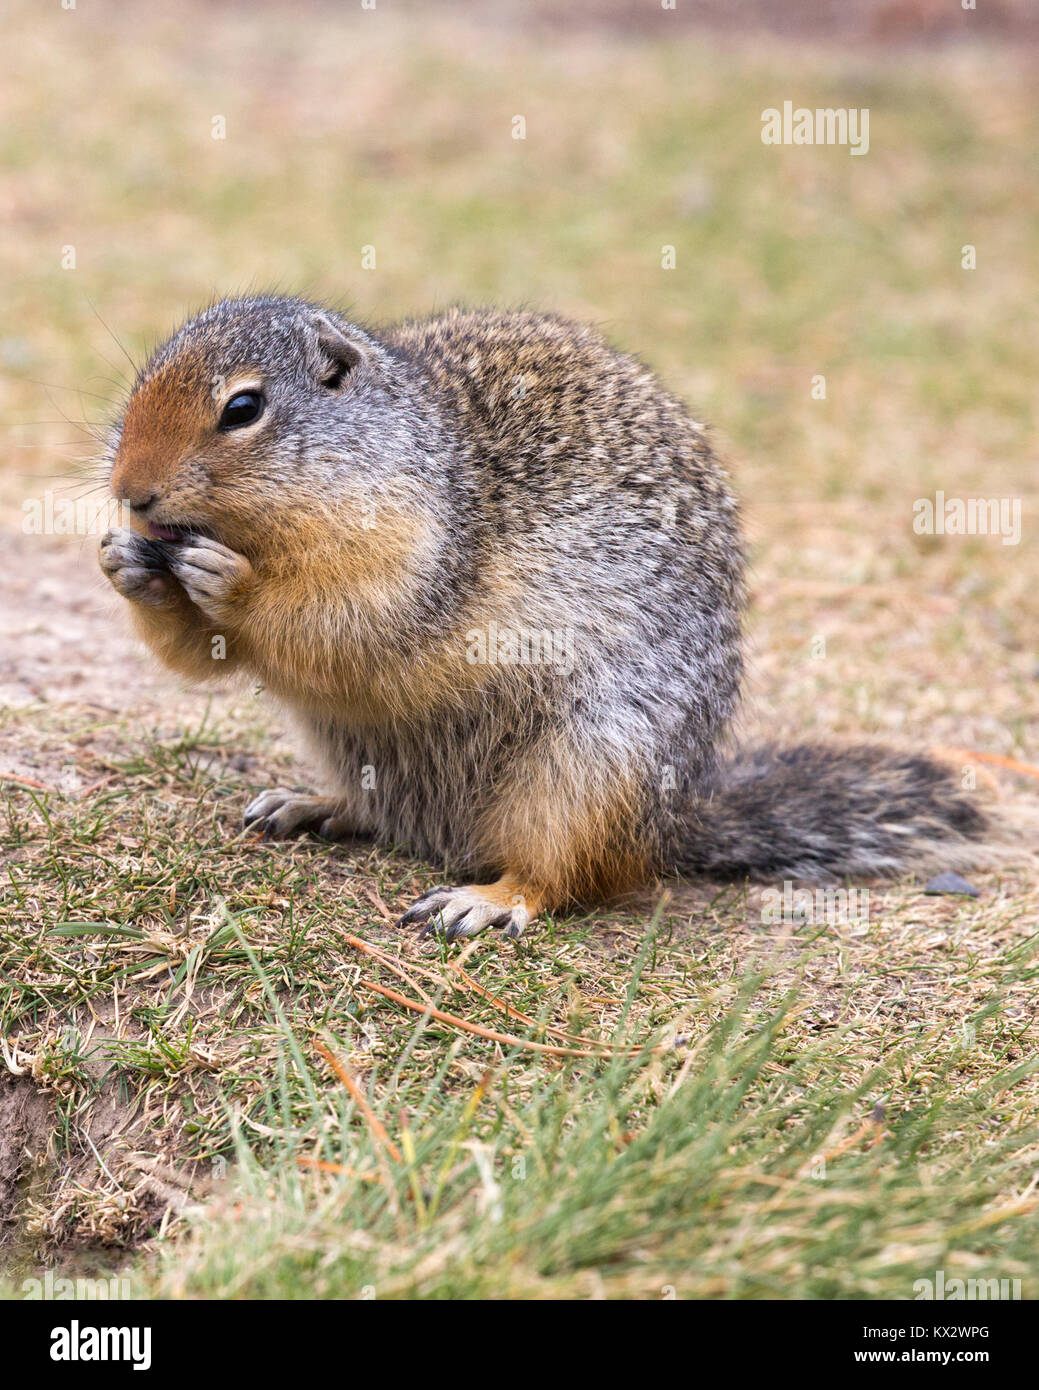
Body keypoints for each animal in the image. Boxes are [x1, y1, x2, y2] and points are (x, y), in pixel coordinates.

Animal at [99, 295, 991, 940]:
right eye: (140, 385)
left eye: (242, 408)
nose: (129, 493)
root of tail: (672, 821)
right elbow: (204, 658)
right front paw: (126, 566)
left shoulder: (408, 554)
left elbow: (343, 625)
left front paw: (228, 582)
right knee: (389, 815)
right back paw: (310, 805)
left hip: (588, 769)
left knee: (561, 874)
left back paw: (488, 899)